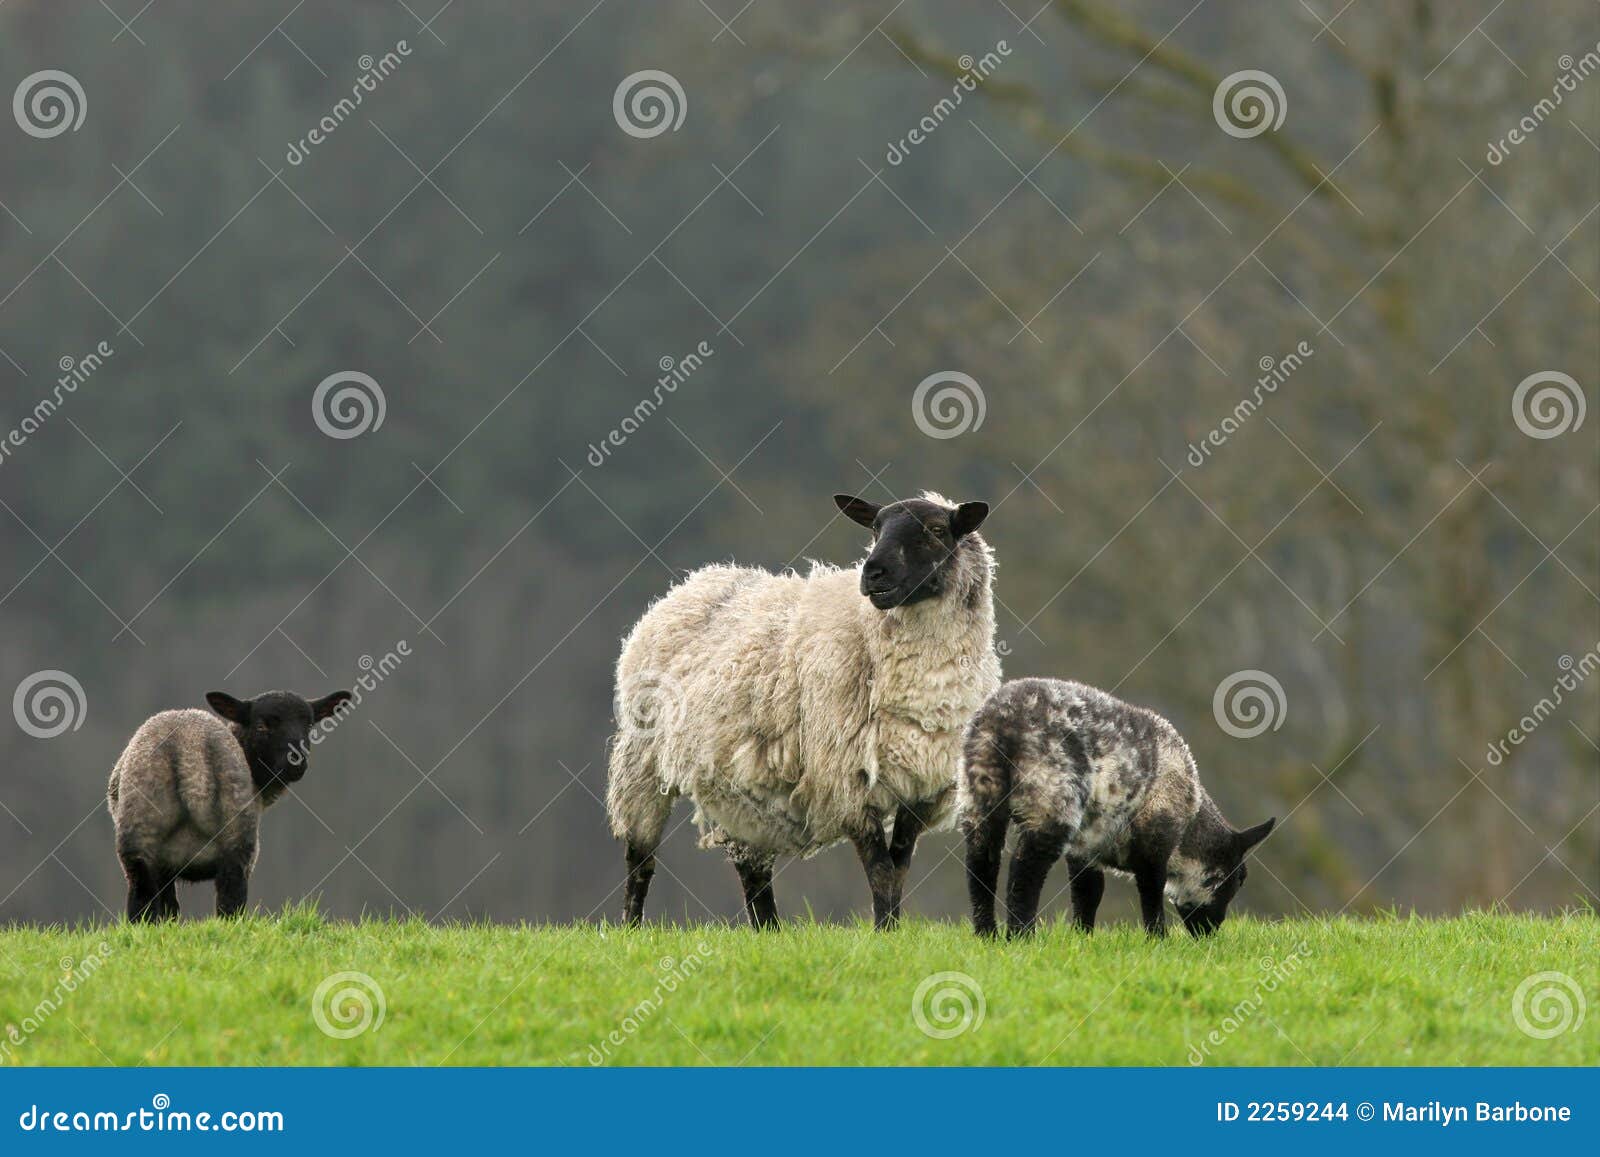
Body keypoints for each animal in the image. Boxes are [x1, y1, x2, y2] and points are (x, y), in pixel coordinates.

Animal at [107, 688, 351, 920]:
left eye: (309, 725)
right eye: (262, 725)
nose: (296, 763)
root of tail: (186, 754)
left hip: (139, 842)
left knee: (143, 908)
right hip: (236, 844)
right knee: (230, 908)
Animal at [606, 490, 1001, 930]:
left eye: (935, 530)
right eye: (875, 528)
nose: (873, 574)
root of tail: (695, 583)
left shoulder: (920, 791)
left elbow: (898, 870)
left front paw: (893, 929)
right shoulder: (846, 783)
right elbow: (881, 872)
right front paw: (884, 932)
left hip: (740, 789)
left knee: (752, 870)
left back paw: (770, 931)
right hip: (641, 759)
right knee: (640, 858)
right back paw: (632, 927)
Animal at [959, 677, 1274, 938]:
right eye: (1239, 879)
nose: (1210, 932)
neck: (1189, 824)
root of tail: (1003, 722)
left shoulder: (1087, 846)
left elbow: (1088, 892)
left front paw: (1082, 937)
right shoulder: (1155, 836)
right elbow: (1151, 888)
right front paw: (1158, 937)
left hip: (978, 792)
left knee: (981, 863)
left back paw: (987, 934)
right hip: (1051, 795)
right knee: (1025, 868)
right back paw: (1021, 935)